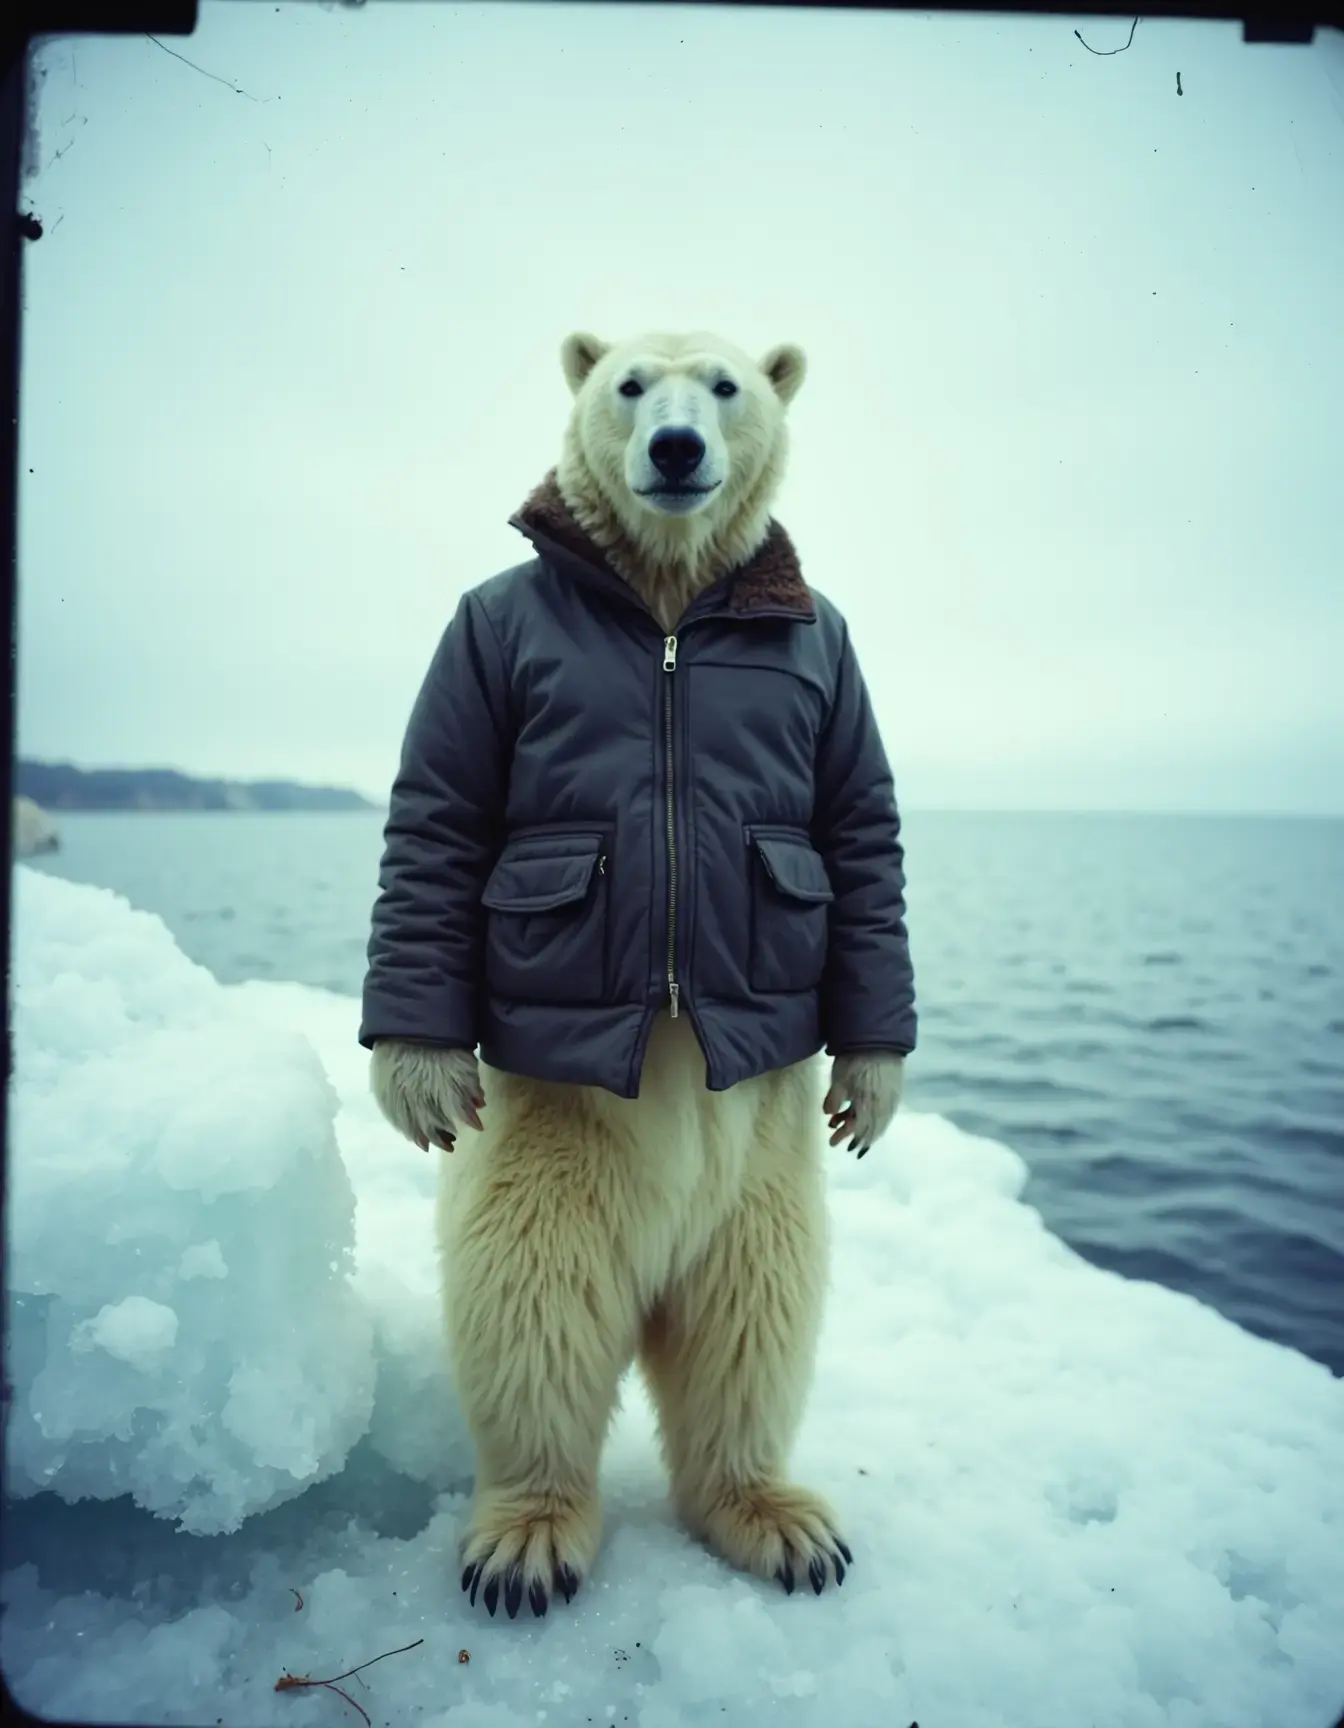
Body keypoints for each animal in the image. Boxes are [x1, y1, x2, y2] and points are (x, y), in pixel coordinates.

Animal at [361, 326, 919, 1617]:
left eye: (726, 385)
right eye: (626, 384)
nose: (673, 447)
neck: (666, 607)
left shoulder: (832, 660)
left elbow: (855, 810)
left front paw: (873, 1082)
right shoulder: (483, 642)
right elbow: (446, 796)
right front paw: (415, 1069)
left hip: (760, 1170)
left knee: (750, 1319)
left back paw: (783, 1524)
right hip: (553, 1143)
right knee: (535, 1306)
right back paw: (526, 1541)